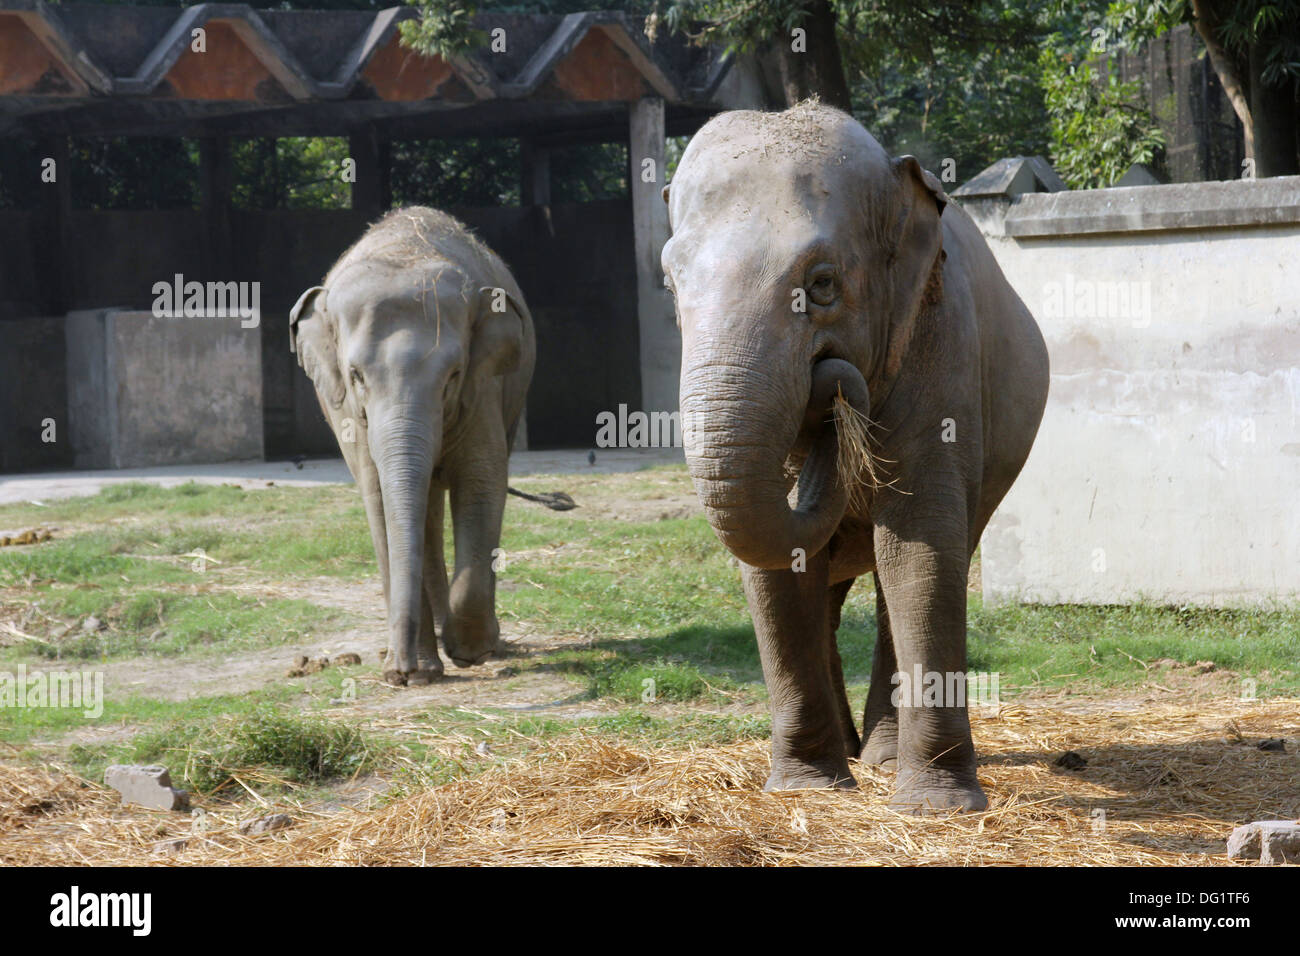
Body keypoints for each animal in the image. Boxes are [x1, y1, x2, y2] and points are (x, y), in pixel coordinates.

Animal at [290, 206, 535, 686]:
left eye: (453, 375)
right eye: (356, 376)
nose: (398, 673)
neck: (403, 252)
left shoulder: (483, 386)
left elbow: (483, 480)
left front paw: (471, 650)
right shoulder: (350, 417)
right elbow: (379, 498)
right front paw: (420, 671)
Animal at [662, 102, 1049, 813]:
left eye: (821, 285)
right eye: (670, 285)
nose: (831, 386)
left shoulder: (939, 341)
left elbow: (920, 547)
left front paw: (936, 806)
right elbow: (773, 567)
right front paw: (805, 787)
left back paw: (881, 754)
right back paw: (846, 750)